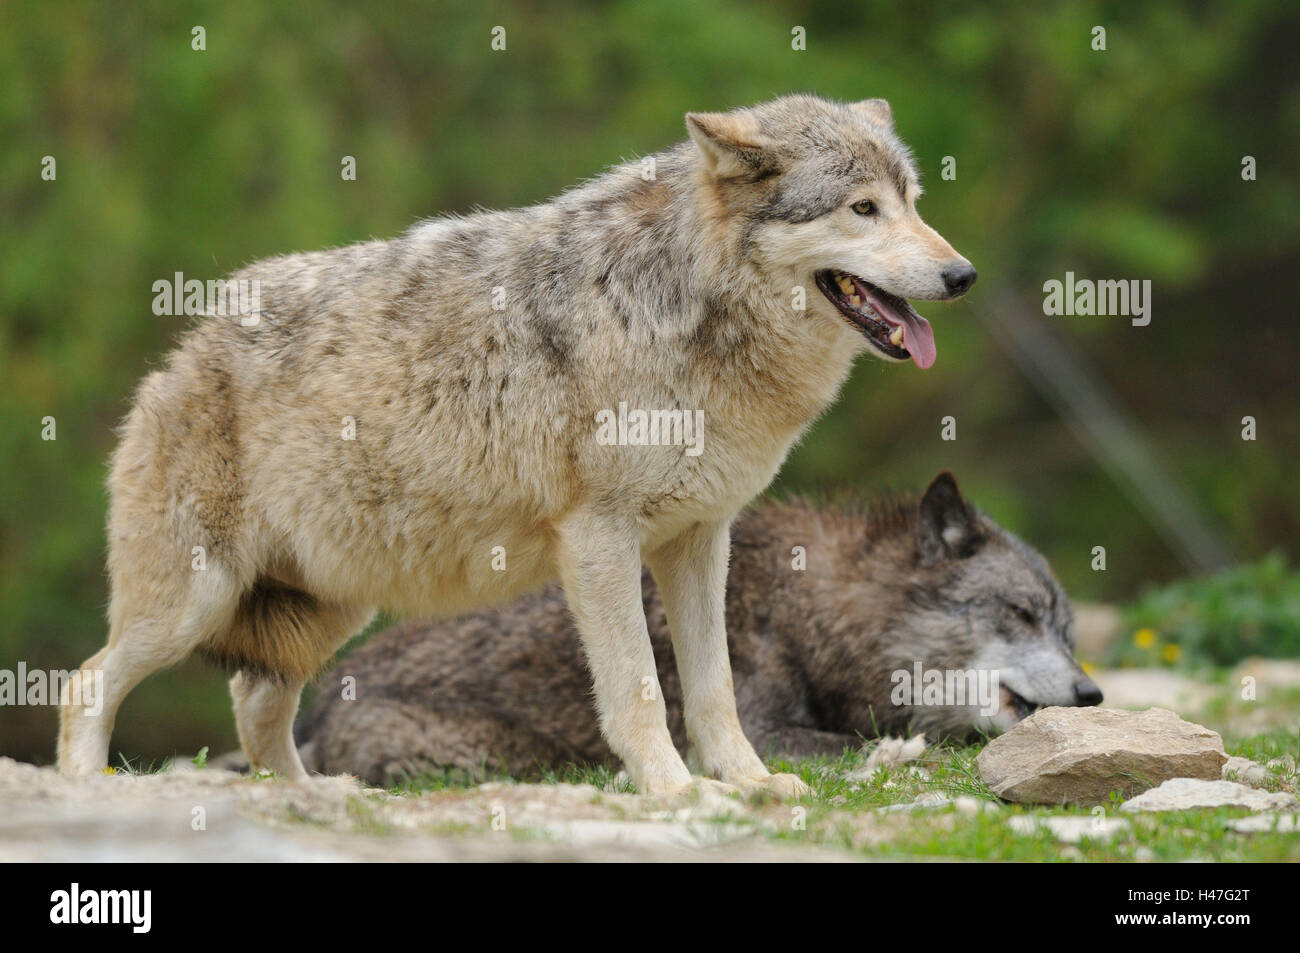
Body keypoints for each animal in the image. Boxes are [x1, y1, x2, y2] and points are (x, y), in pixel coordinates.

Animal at [58, 94, 975, 798]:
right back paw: (83, 787)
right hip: (195, 601)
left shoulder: (699, 539)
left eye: (914, 201)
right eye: (862, 208)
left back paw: (312, 797)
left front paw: (748, 783)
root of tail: (184, 347)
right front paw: (674, 791)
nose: (962, 274)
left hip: (327, 609)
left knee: (252, 705)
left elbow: (712, 690)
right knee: (84, 683)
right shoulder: (600, 538)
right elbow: (641, 689)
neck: (682, 300)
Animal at [292, 473, 1101, 785]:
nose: (1093, 695)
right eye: (1020, 613)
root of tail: (321, 704)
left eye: (1067, 631)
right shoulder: (762, 728)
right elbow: (856, 739)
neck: (819, 613)